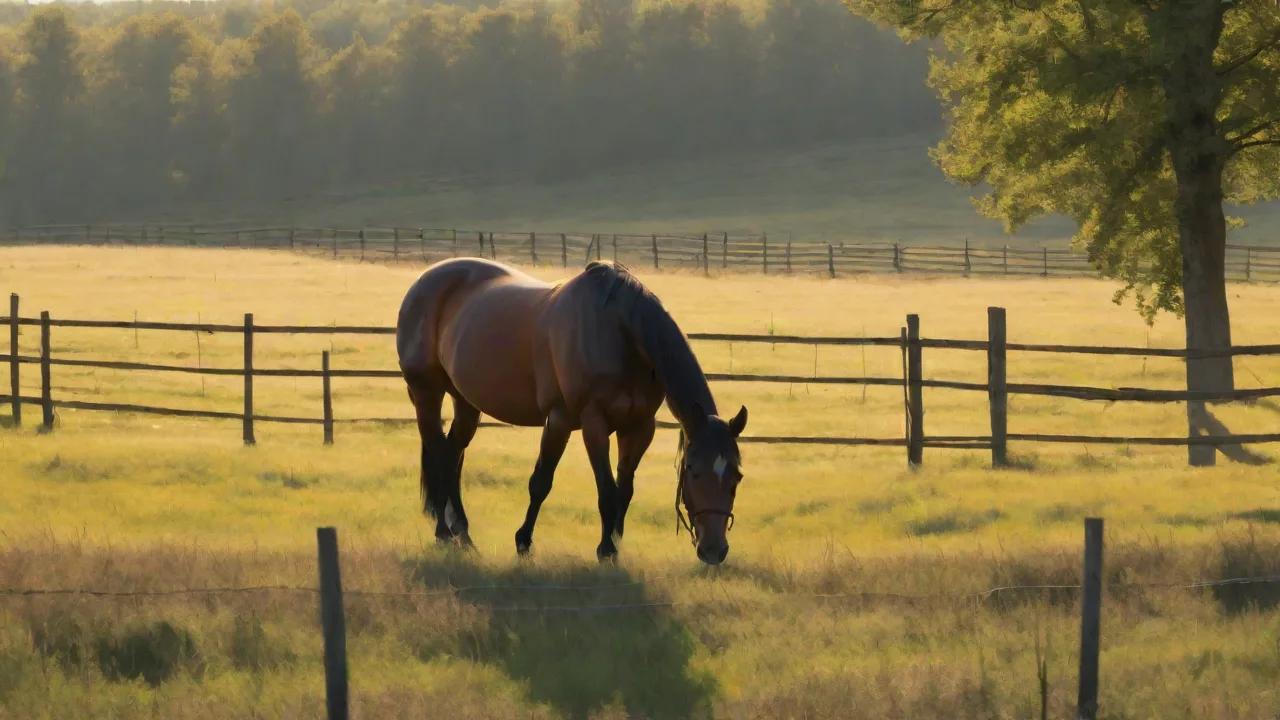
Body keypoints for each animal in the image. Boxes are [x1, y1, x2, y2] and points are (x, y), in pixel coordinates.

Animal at [395, 257, 749, 565]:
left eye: (736, 476)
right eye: (694, 471)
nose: (714, 551)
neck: (619, 333)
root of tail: (425, 280)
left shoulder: (639, 427)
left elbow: (625, 489)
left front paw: (614, 543)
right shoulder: (576, 421)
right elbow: (560, 484)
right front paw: (533, 543)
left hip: (466, 401)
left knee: (452, 456)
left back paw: (464, 534)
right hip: (426, 392)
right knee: (438, 452)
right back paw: (444, 532)